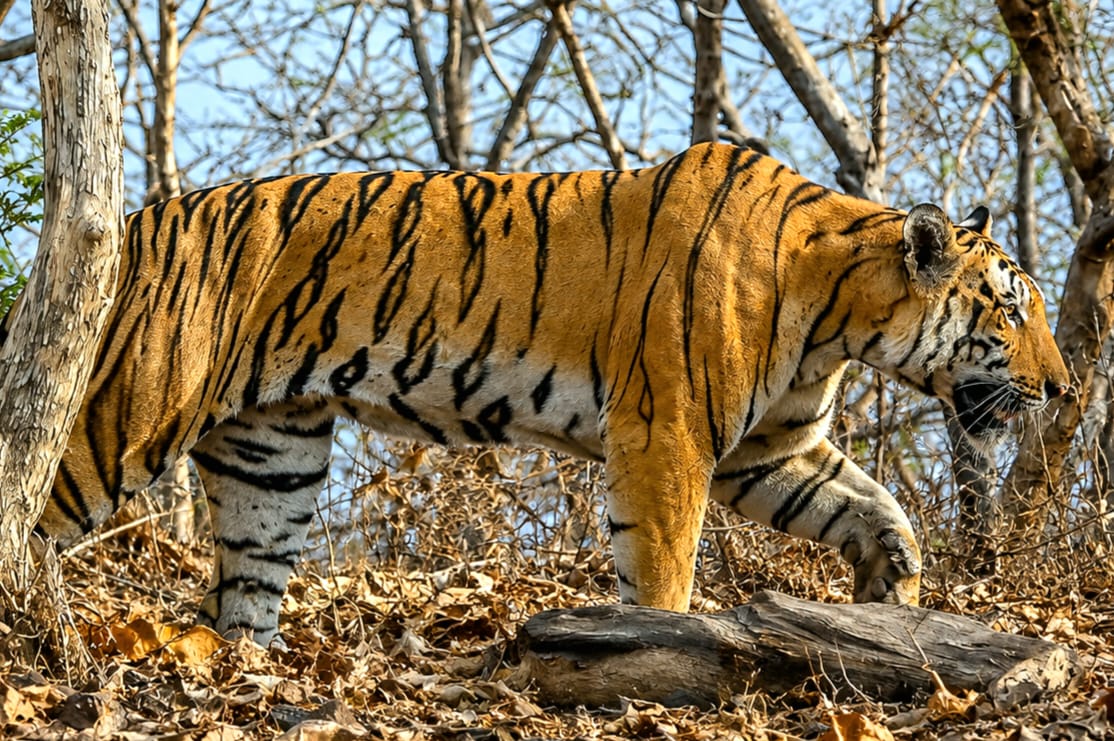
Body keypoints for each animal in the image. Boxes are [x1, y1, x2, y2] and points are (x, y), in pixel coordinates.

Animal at [0, 142, 1069, 645]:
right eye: (1013, 310)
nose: (1062, 388)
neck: (841, 314)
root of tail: (128, 226)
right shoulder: (669, 433)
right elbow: (664, 568)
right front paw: (659, 647)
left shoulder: (776, 450)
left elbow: (880, 508)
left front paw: (891, 596)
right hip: (121, 412)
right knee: (33, 498)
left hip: (276, 457)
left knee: (247, 588)